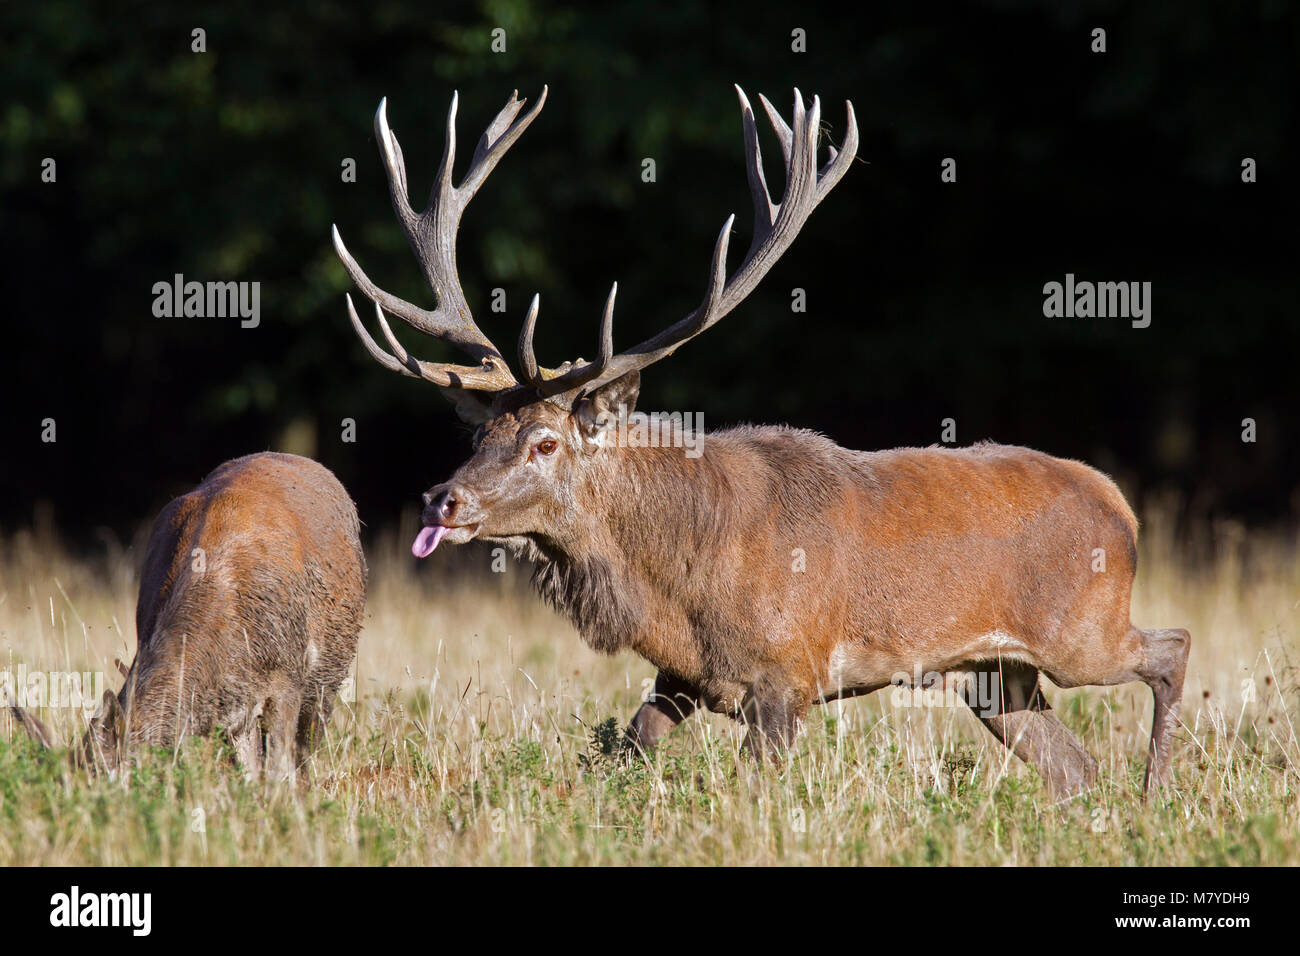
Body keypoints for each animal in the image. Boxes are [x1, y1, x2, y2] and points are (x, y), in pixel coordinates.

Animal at [331, 85, 1189, 799]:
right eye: (480, 431)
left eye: (545, 442)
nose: (443, 499)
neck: (679, 584)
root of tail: (1119, 505)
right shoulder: (678, 676)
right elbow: (620, 754)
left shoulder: (789, 672)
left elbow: (752, 791)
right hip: (994, 675)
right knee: (1074, 769)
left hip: (1079, 629)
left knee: (1170, 648)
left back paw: (1157, 792)